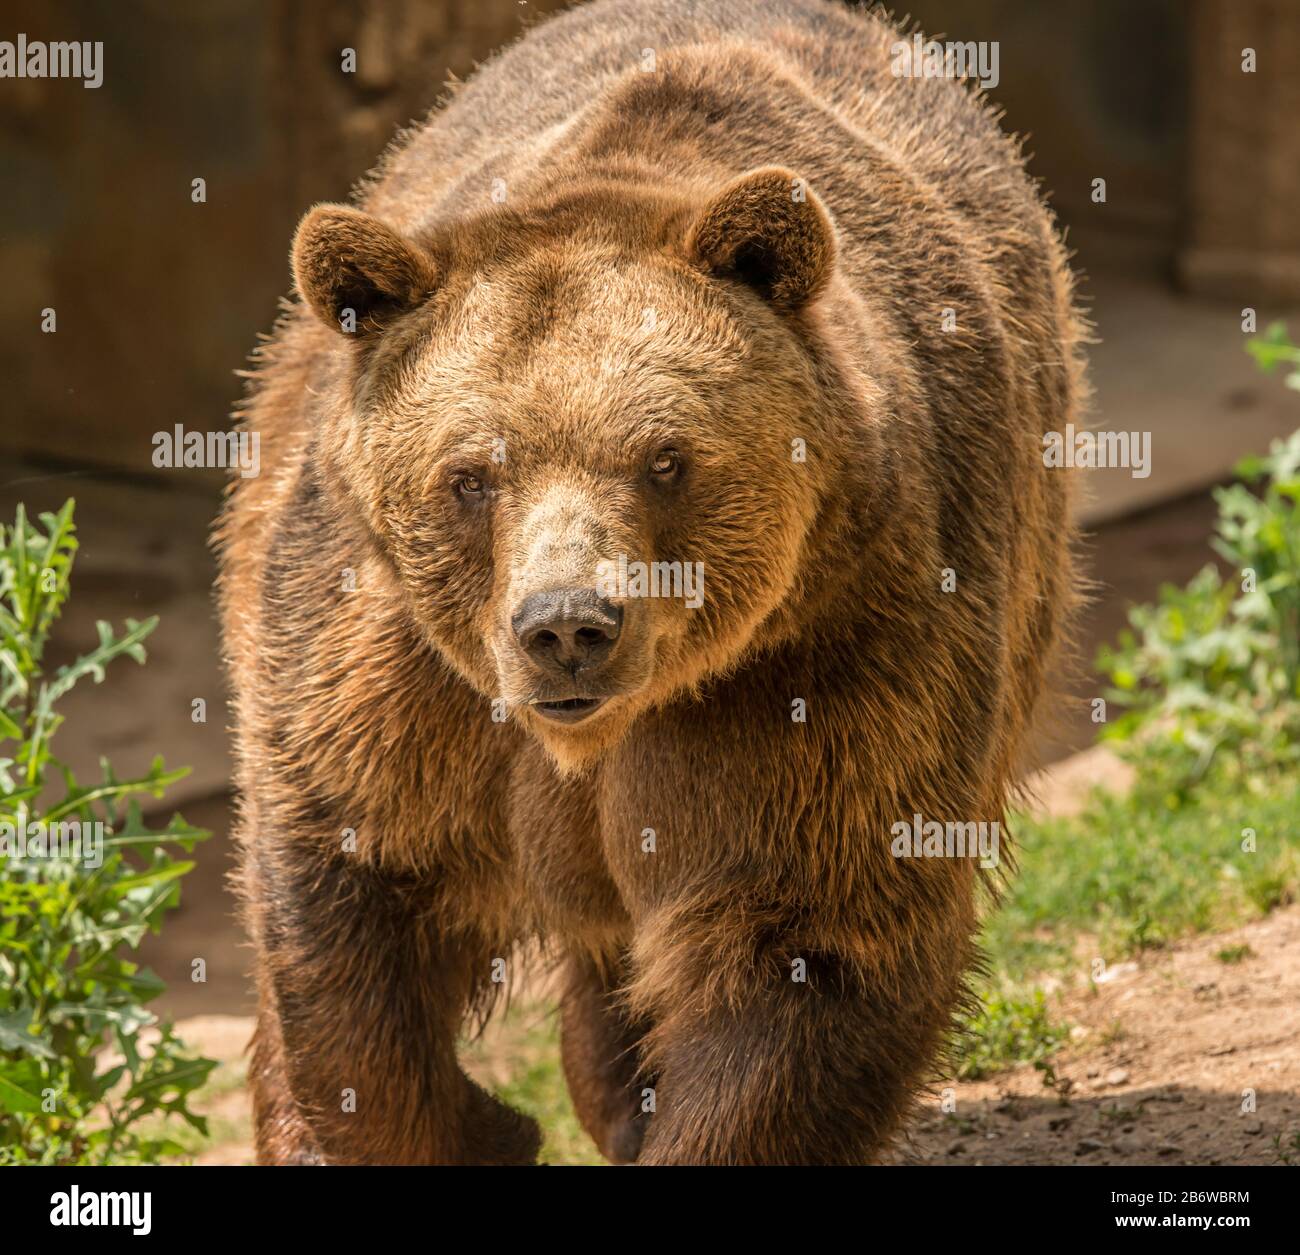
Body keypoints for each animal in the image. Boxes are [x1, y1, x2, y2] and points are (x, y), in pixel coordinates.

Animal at [217, 0, 1084, 1165]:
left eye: (664, 458)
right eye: (470, 474)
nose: (566, 627)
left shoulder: (831, 650)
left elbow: (811, 934)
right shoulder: (388, 669)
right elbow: (353, 898)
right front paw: (485, 1123)